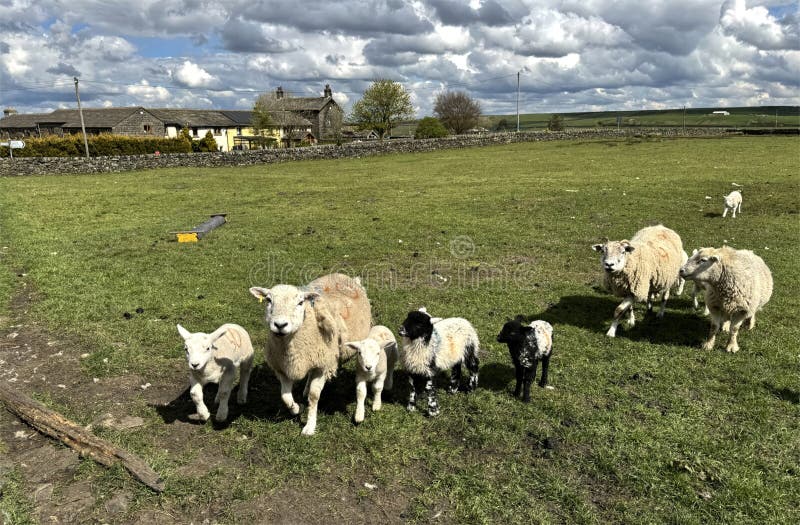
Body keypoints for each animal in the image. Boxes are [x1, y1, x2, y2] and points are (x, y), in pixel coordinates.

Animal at [249, 273, 371, 435]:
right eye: (268, 300)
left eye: (301, 302)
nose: (280, 325)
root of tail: (343, 275)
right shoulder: (282, 368)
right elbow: (284, 396)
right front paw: (296, 409)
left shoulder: (322, 366)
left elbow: (314, 396)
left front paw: (310, 425)